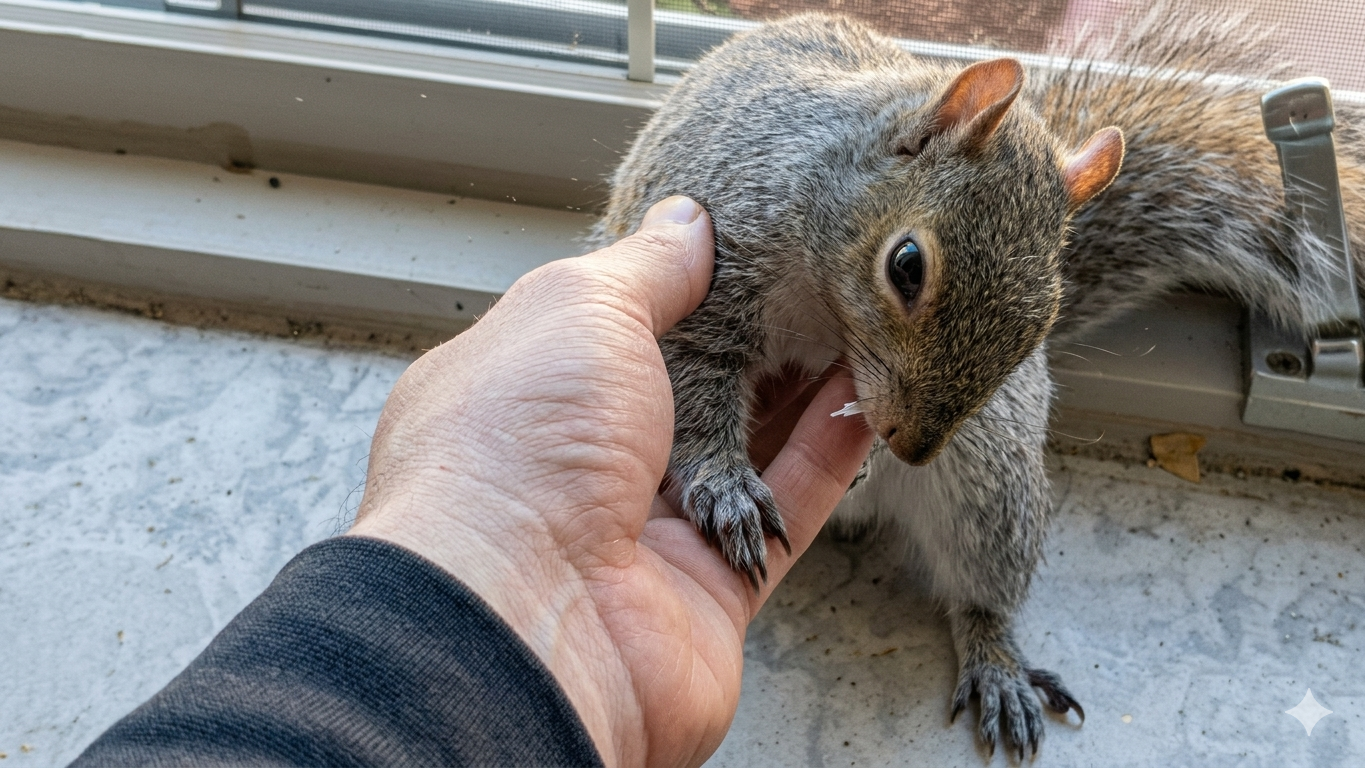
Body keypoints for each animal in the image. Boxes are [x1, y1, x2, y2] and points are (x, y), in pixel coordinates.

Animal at [589, 2, 1363, 760]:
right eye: (906, 265)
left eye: (1044, 319)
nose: (909, 446)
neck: (821, 299)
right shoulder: (716, 261)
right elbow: (693, 381)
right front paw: (727, 491)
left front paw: (863, 452)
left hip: (994, 480)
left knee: (981, 592)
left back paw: (997, 665)